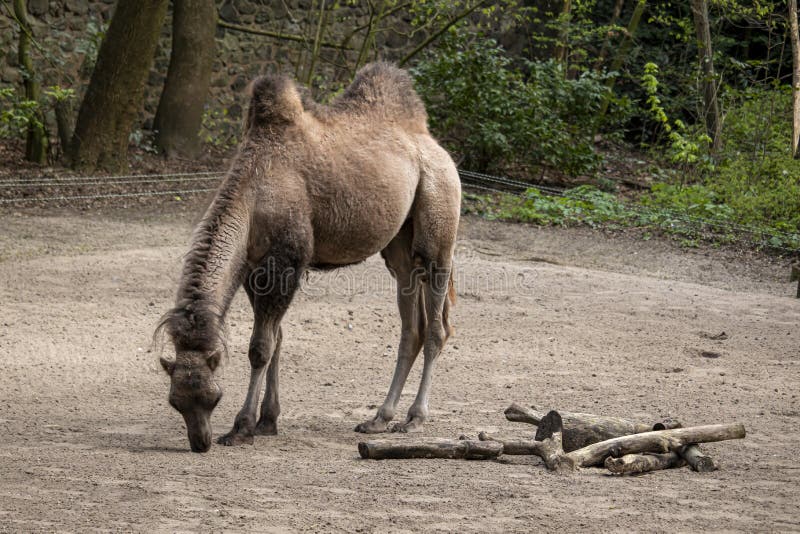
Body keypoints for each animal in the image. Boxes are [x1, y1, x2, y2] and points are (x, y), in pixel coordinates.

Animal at [157, 63, 461, 452]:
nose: (200, 442)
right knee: (412, 327)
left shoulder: (286, 262)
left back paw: (414, 419)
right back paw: (379, 418)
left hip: (438, 217)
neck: (252, 195)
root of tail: (433, 143)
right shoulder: (254, 269)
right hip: (399, 249)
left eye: (213, 397)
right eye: (174, 401)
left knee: (437, 326)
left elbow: (260, 347)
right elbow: (277, 340)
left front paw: (242, 427)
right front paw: (268, 420)